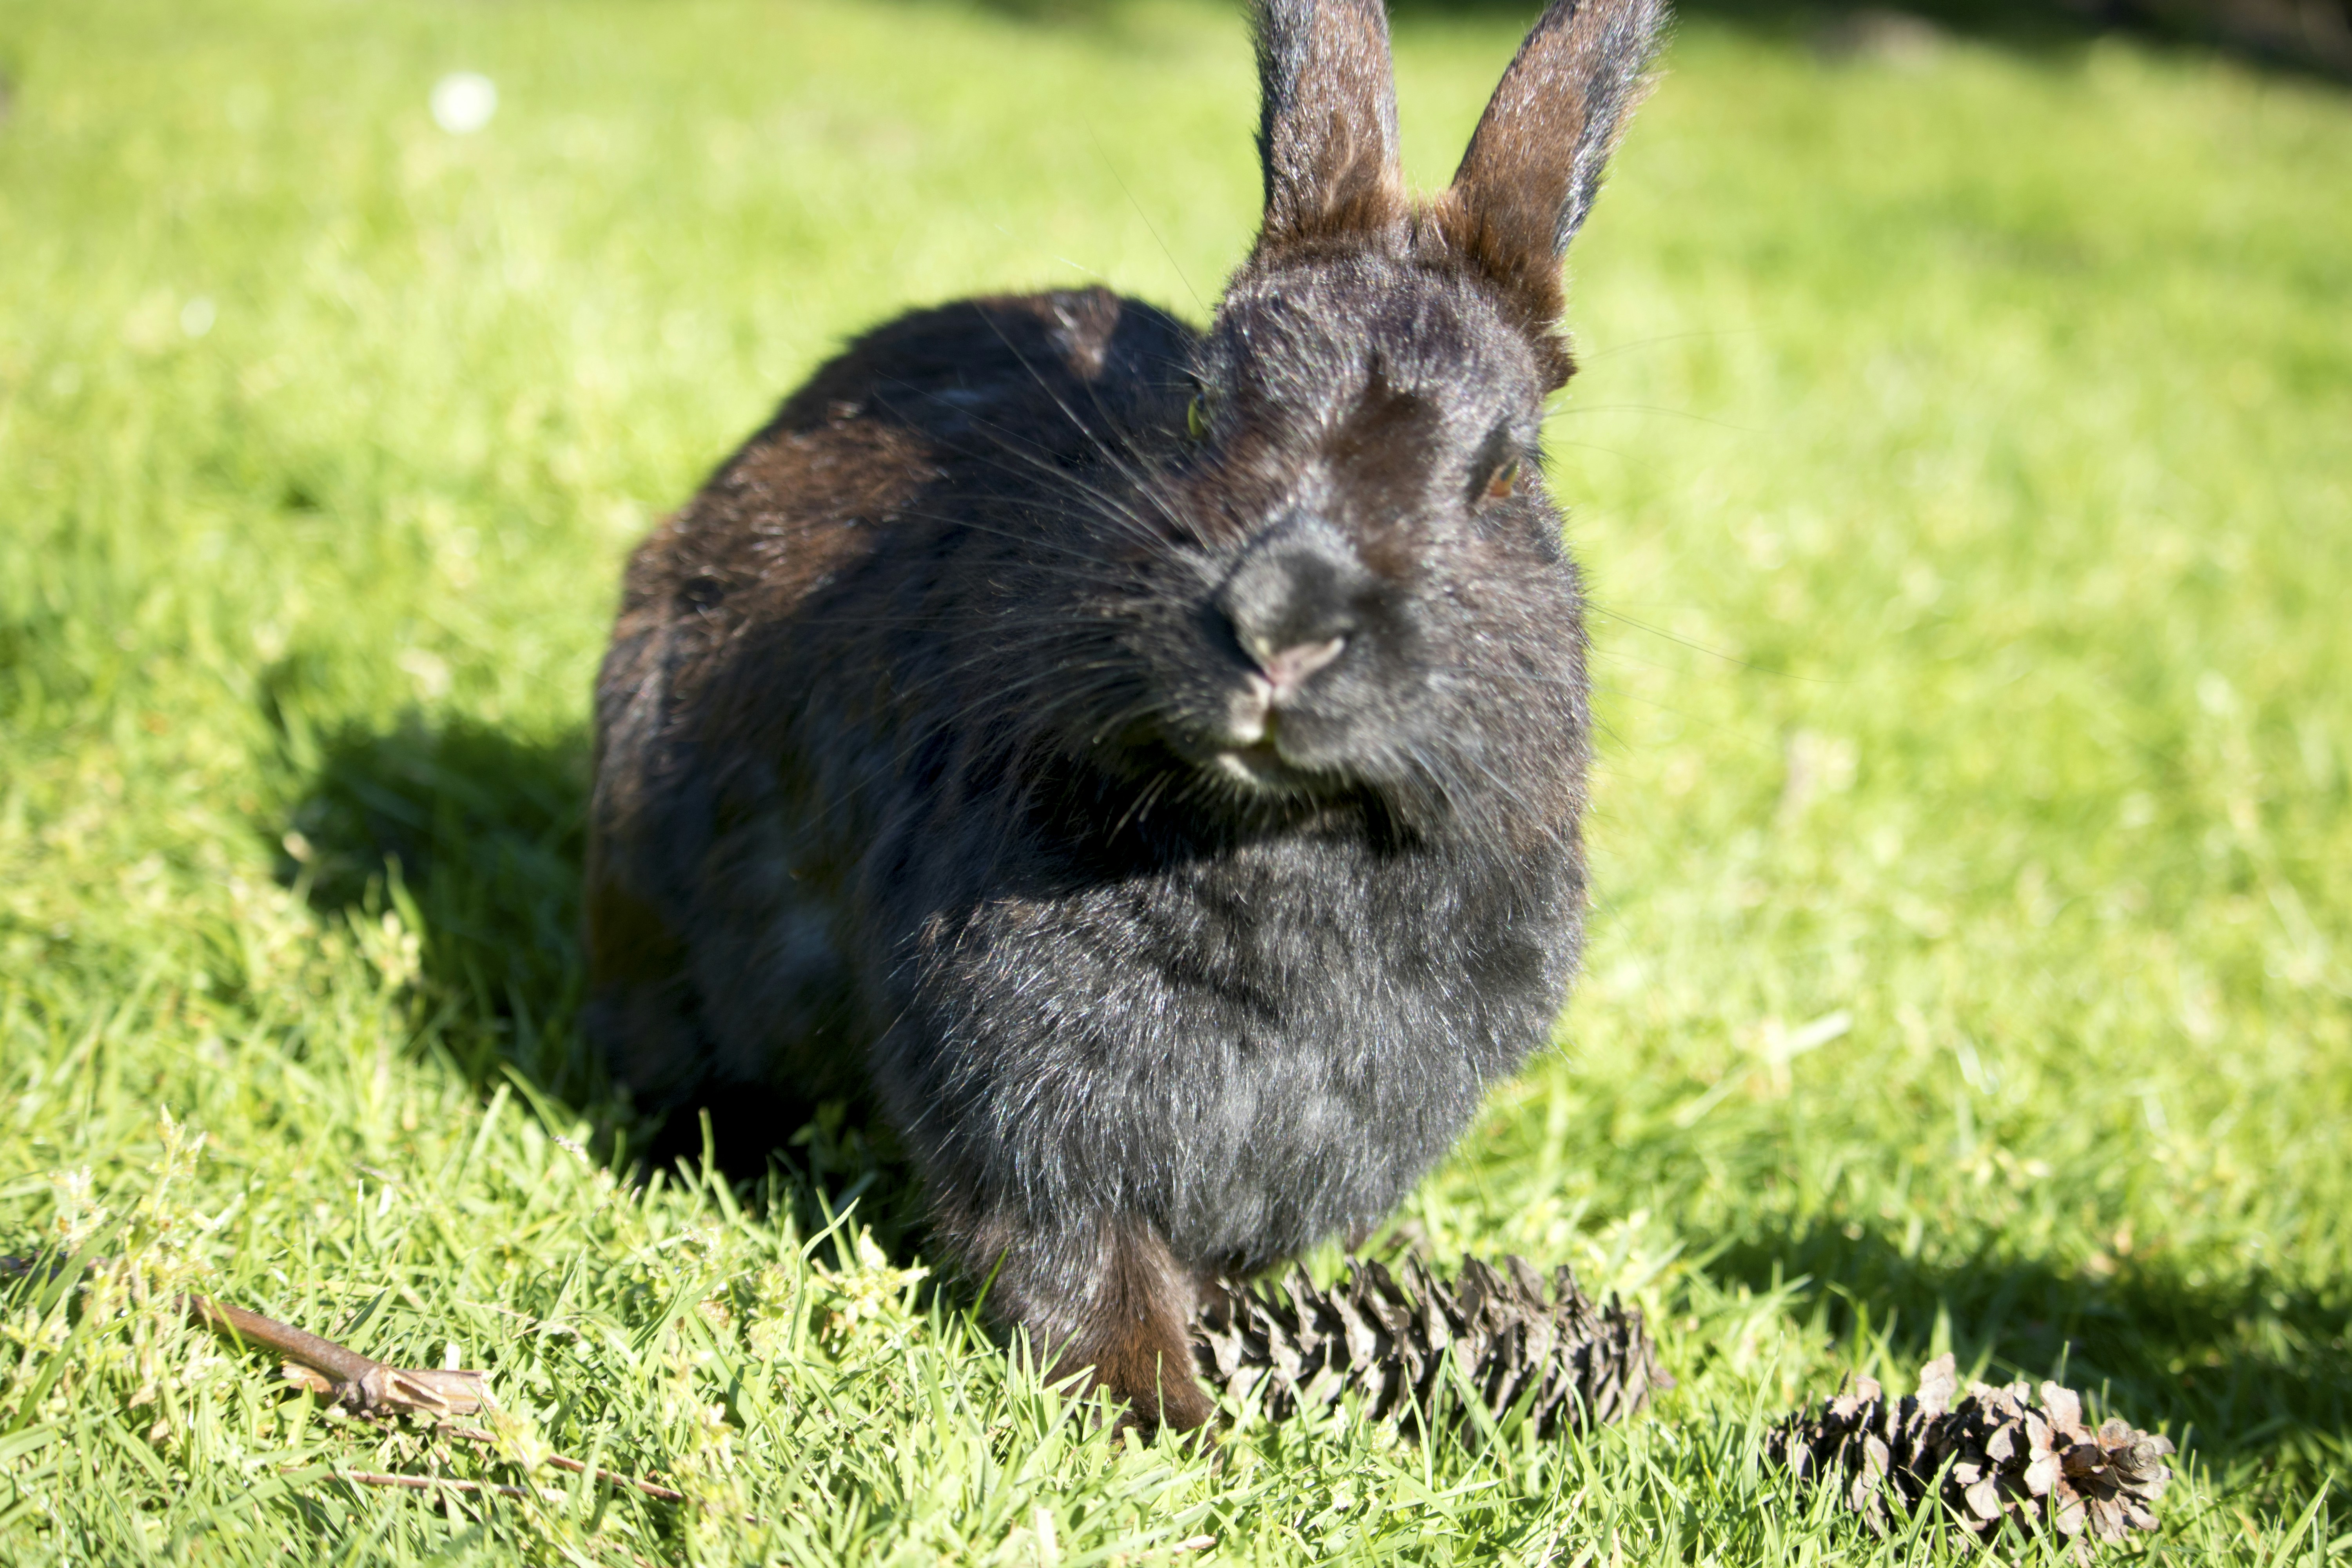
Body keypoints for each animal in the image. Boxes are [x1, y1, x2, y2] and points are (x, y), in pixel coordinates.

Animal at [585, 0, 1665, 1435]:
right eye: (1205, 408)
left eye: (1503, 475)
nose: (1281, 622)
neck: (1273, 838)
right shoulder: (1026, 1104)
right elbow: (1076, 1264)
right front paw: (1160, 1415)